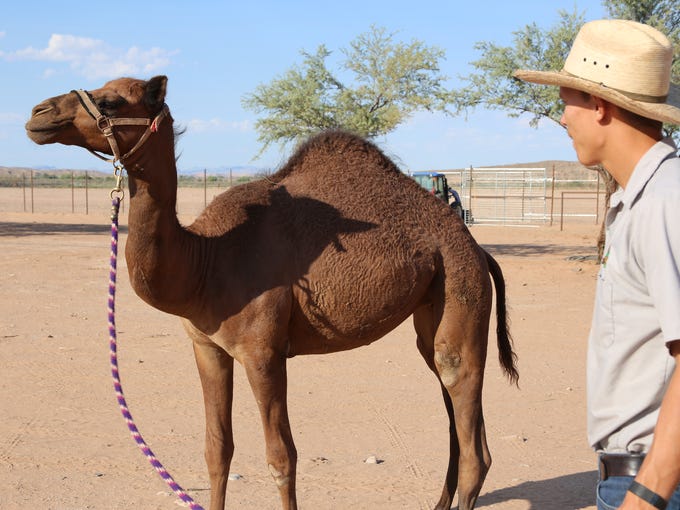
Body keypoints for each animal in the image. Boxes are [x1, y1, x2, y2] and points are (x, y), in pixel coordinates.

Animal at [26, 75, 518, 510]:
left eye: (112, 101)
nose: (37, 113)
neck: (206, 260)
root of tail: (476, 248)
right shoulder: (207, 347)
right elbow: (216, 450)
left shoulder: (263, 352)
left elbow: (282, 459)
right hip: (432, 308)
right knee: (454, 411)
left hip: (461, 284)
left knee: (470, 428)